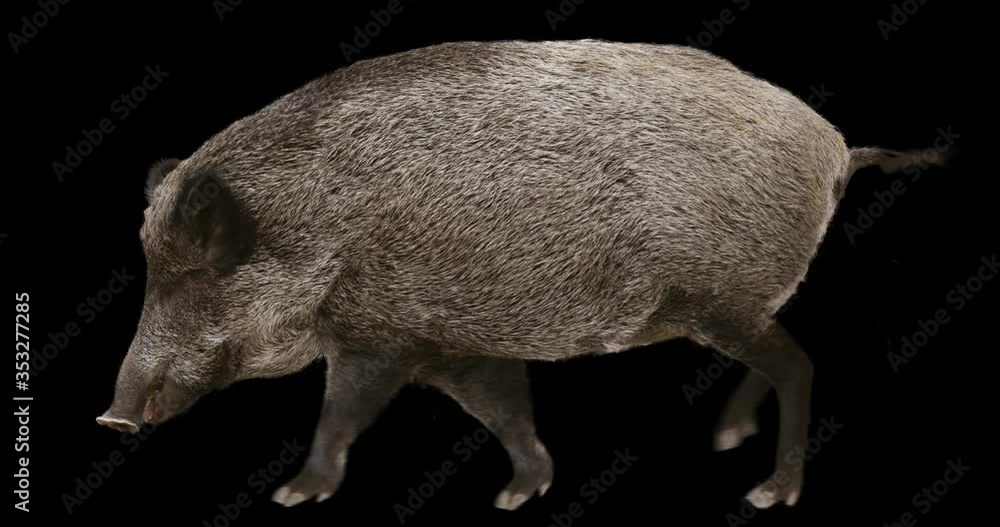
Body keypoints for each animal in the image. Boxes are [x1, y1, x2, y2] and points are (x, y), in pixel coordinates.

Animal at [96, 39, 943, 510]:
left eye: (198, 271)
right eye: (153, 270)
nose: (112, 416)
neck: (317, 228)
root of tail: (838, 148)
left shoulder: (378, 335)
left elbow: (341, 413)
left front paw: (291, 494)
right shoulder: (450, 345)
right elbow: (506, 409)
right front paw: (519, 493)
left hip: (718, 298)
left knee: (797, 364)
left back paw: (769, 493)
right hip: (729, 305)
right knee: (772, 360)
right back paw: (728, 438)